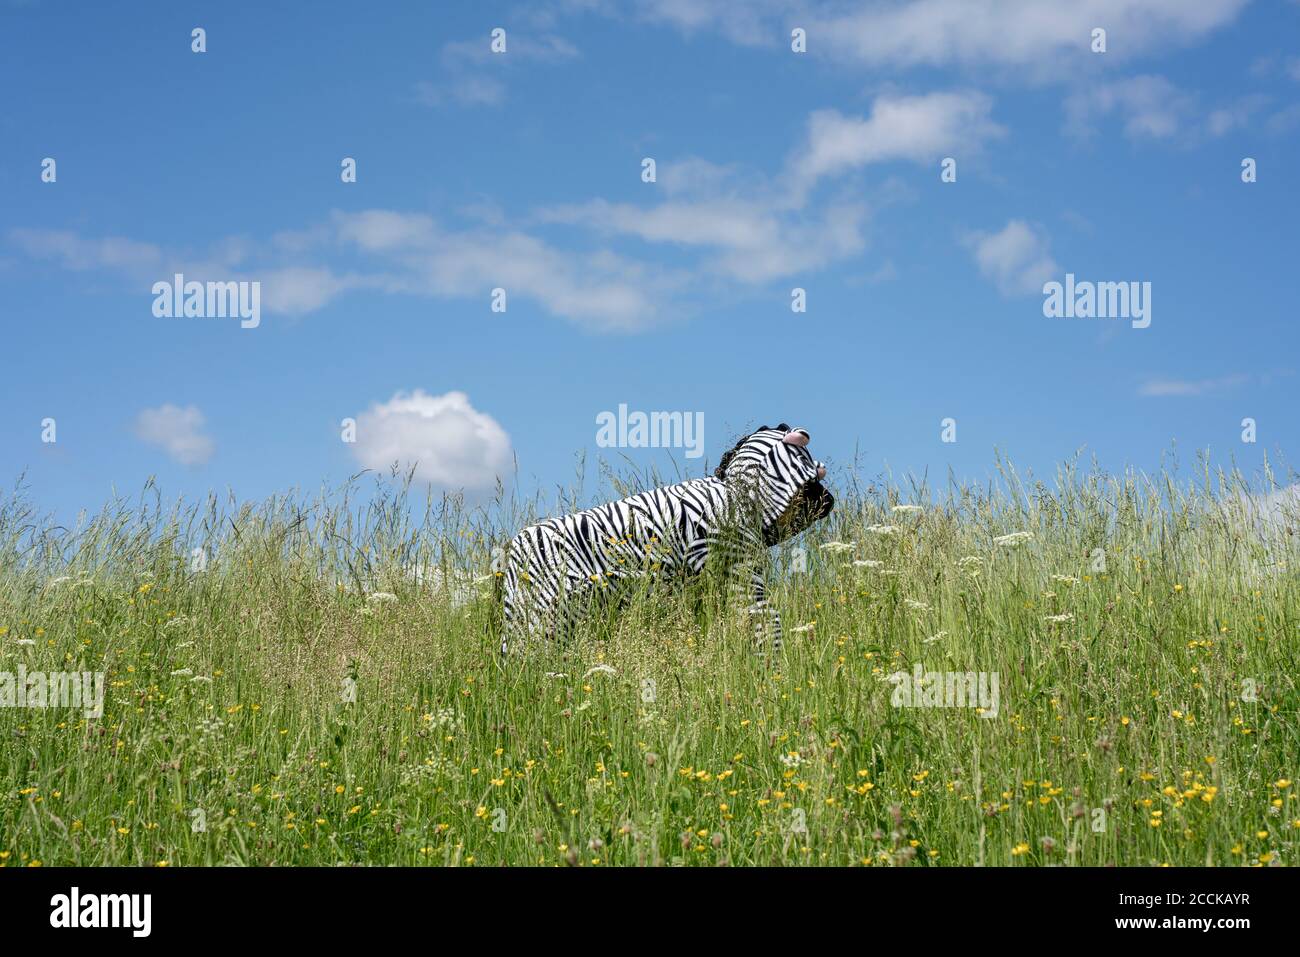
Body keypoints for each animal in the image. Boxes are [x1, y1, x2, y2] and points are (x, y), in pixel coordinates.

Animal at [497, 424, 833, 655]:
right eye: (814, 474)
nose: (829, 501)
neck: (736, 493)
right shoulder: (734, 563)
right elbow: (764, 619)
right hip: (542, 616)